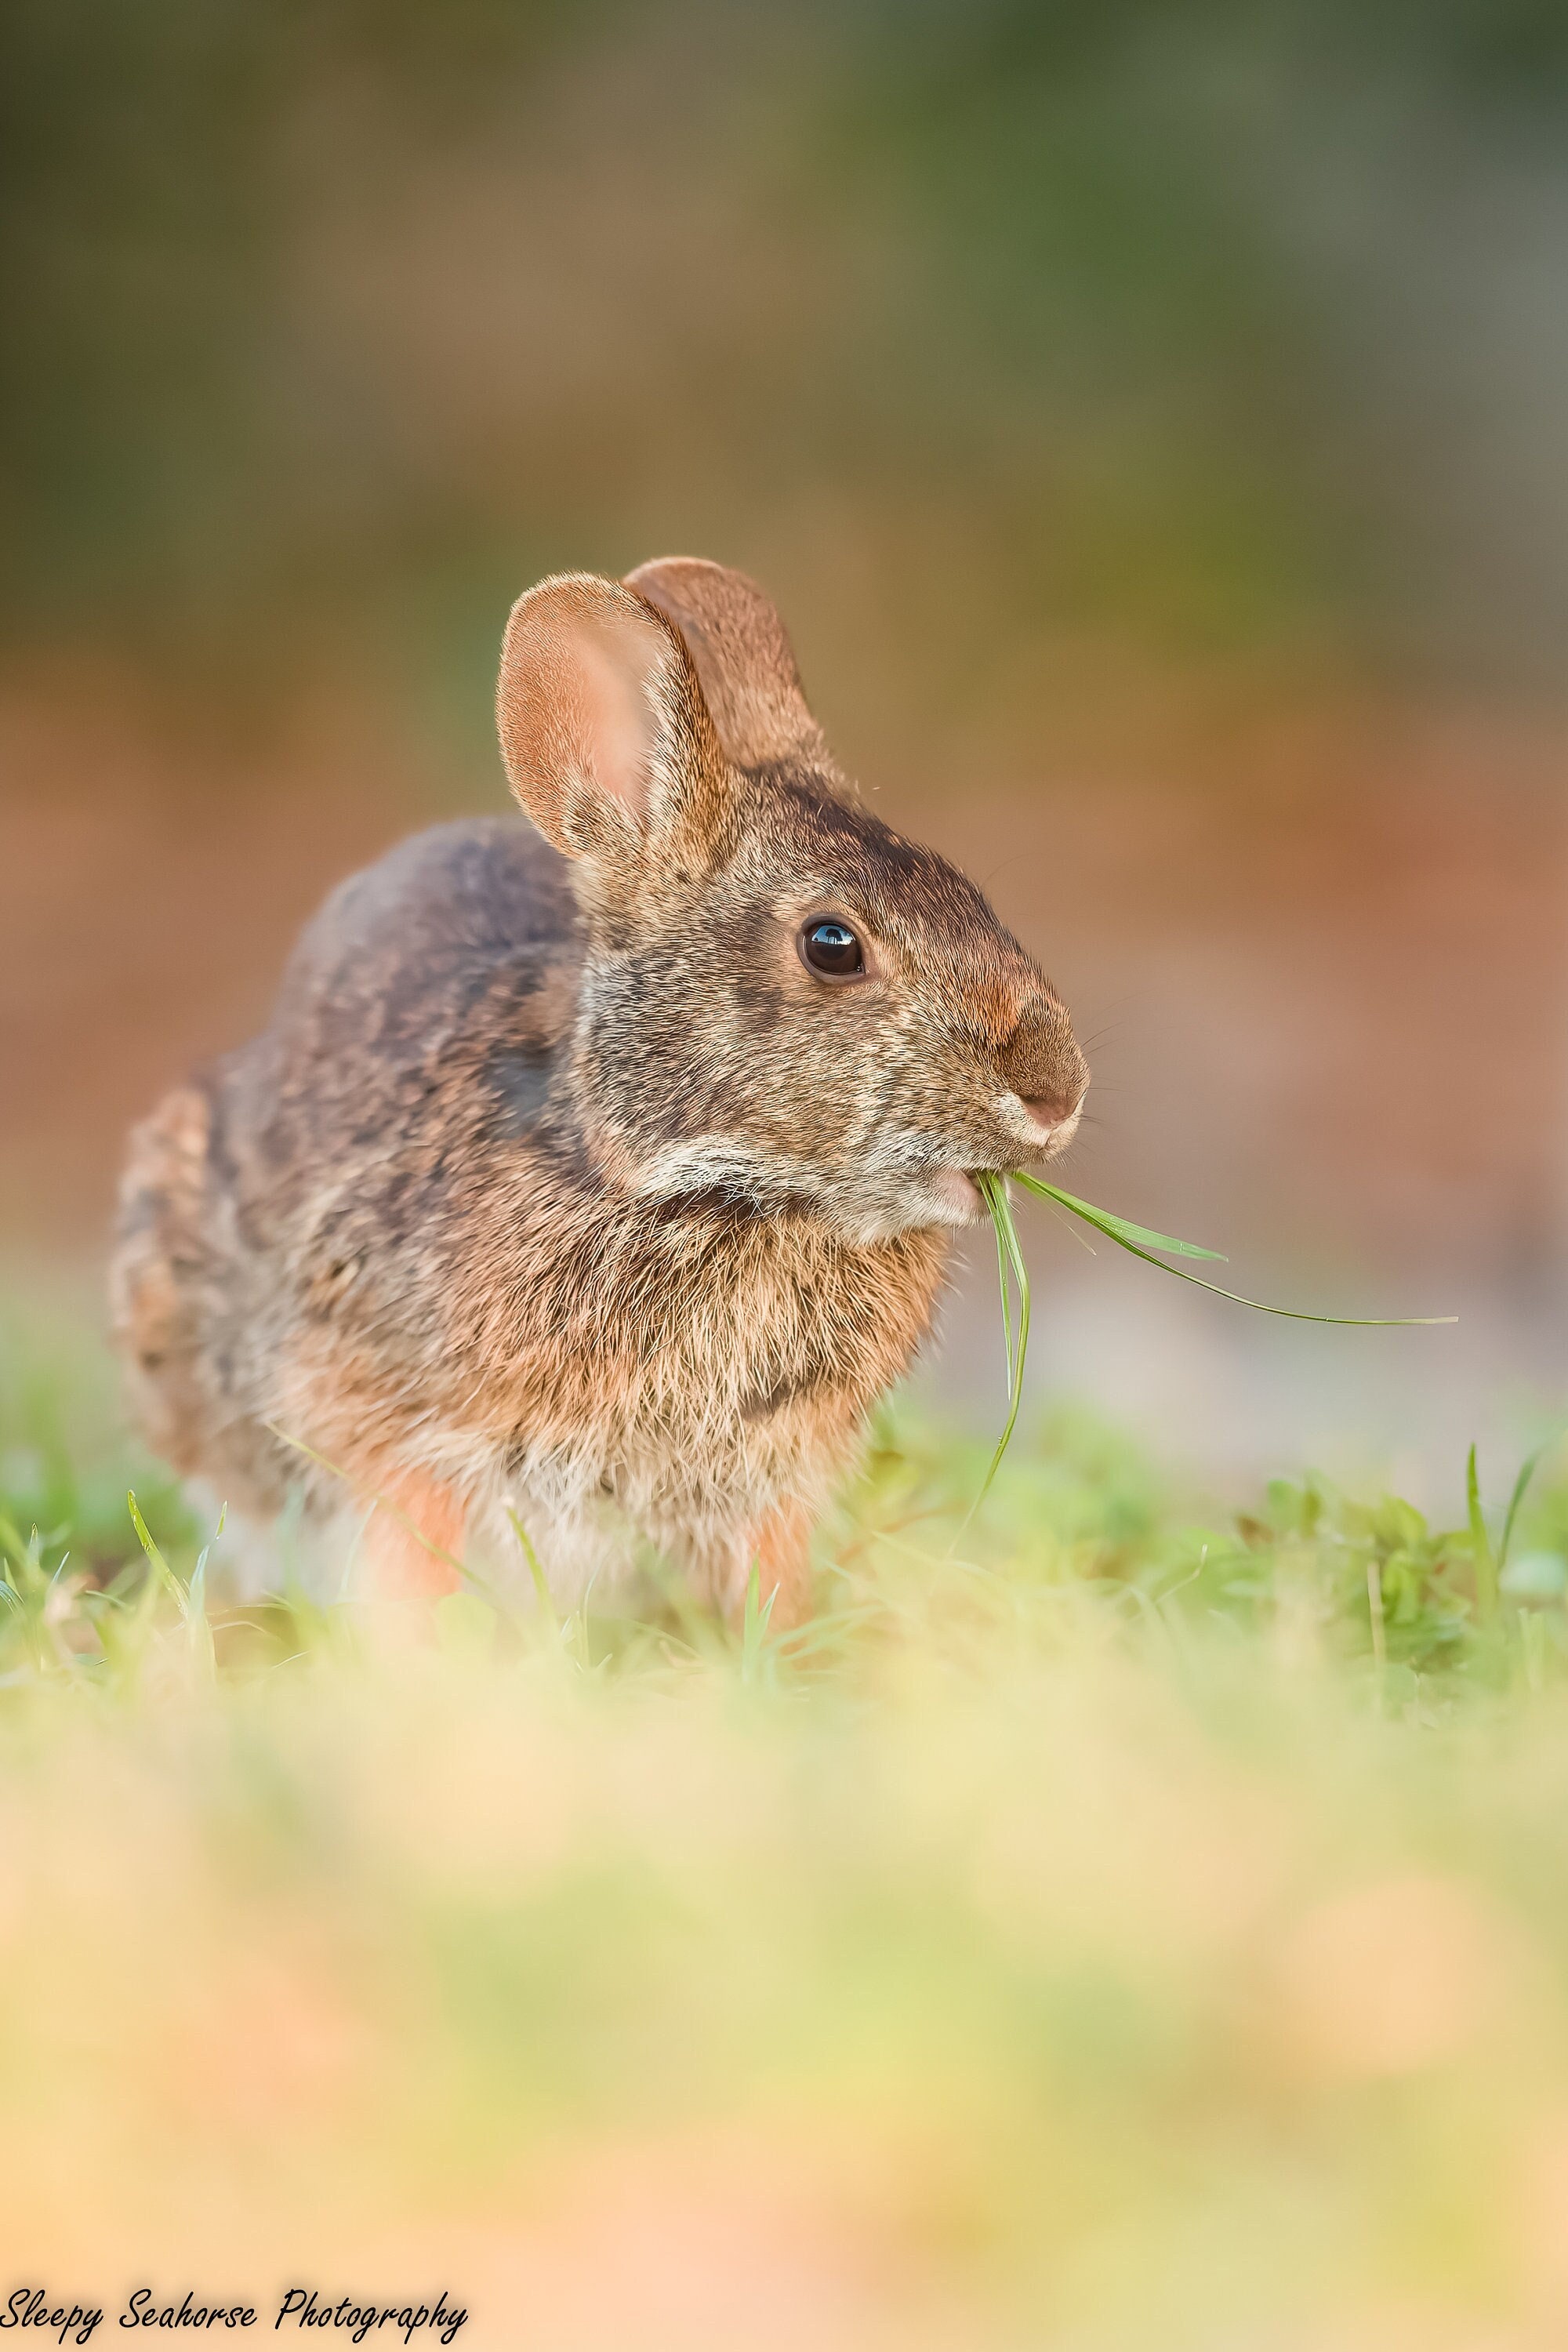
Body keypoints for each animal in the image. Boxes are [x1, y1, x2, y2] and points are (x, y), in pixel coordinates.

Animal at [110, 559, 1089, 1622]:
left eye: (966, 889)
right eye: (832, 945)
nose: (1055, 1091)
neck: (694, 1185)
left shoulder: (771, 1481)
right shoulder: (383, 1425)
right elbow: (409, 1558)